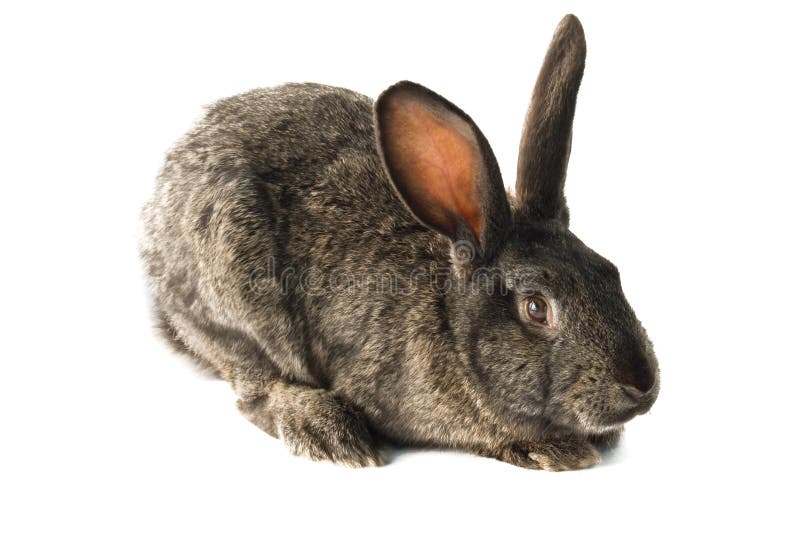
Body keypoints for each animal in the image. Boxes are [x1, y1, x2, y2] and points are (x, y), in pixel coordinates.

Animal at [140, 14, 659, 471]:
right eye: (536, 307)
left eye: (611, 272)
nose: (642, 385)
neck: (450, 323)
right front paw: (557, 451)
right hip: (238, 289)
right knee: (254, 385)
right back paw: (329, 432)